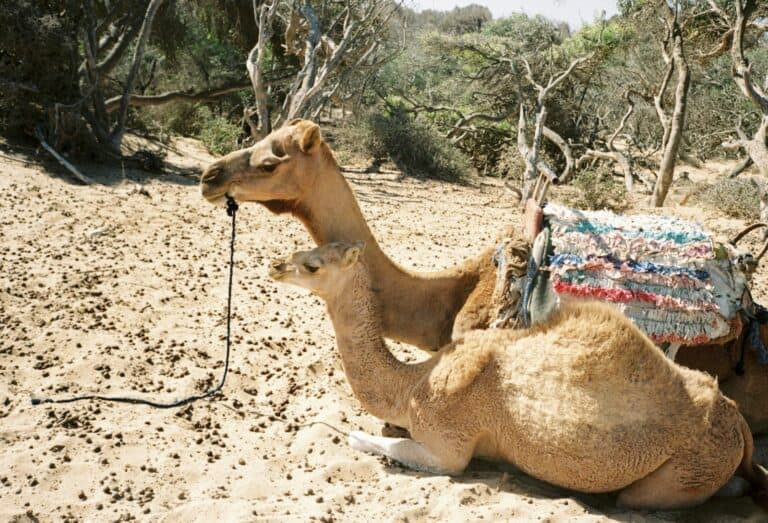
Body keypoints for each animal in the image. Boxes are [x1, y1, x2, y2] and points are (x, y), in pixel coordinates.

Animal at [268, 241, 768, 510]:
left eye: (313, 264)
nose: (275, 264)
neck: (412, 383)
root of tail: (738, 424)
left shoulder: (448, 447)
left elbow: (367, 440)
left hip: (684, 471)